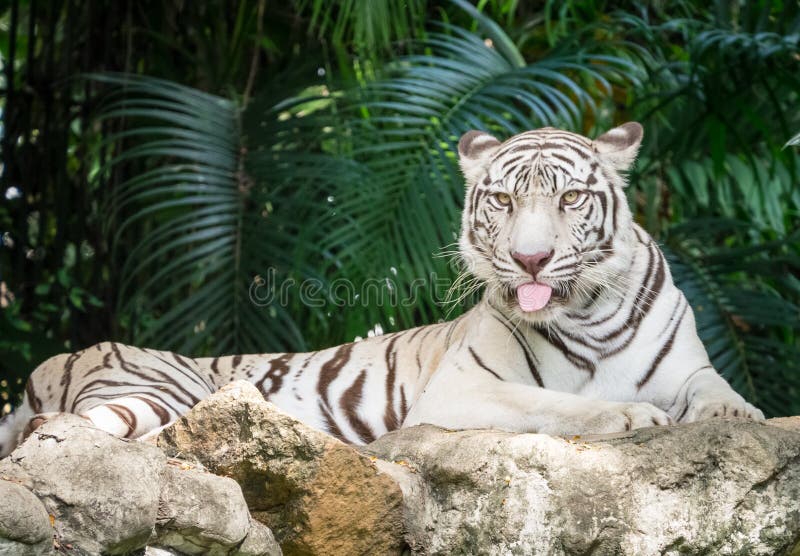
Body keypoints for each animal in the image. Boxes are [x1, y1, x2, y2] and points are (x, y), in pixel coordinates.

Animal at [0, 122, 764, 458]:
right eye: (503, 201)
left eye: (571, 198)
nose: (531, 259)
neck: (589, 312)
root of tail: (48, 365)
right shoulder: (463, 387)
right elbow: (554, 402)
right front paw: (630, 417)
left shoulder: (688, 363)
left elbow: (714, 387)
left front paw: (737, 415)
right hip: (155, 388)